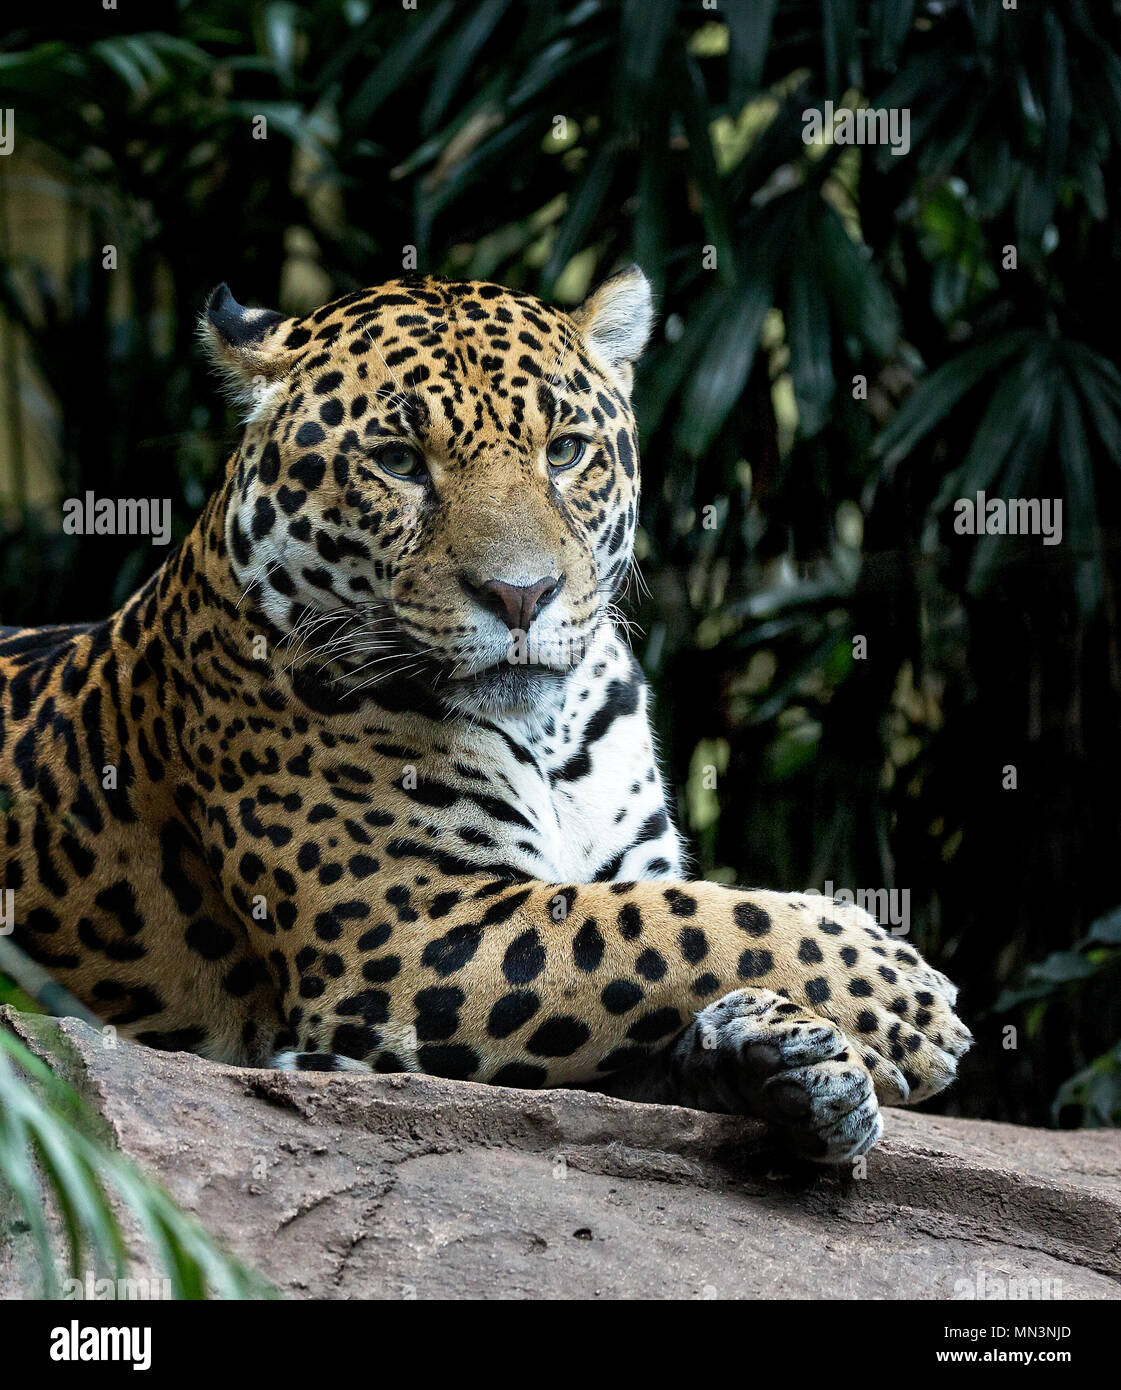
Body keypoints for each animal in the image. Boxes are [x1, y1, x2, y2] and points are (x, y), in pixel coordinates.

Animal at [0, 267, 971, 1162]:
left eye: (566, 451)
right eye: (397, 461)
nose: (521, 594)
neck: (554, 736)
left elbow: (660, 931)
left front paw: (789, 1058)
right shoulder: (405, 934)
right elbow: (660, 924)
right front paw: (898, 996)